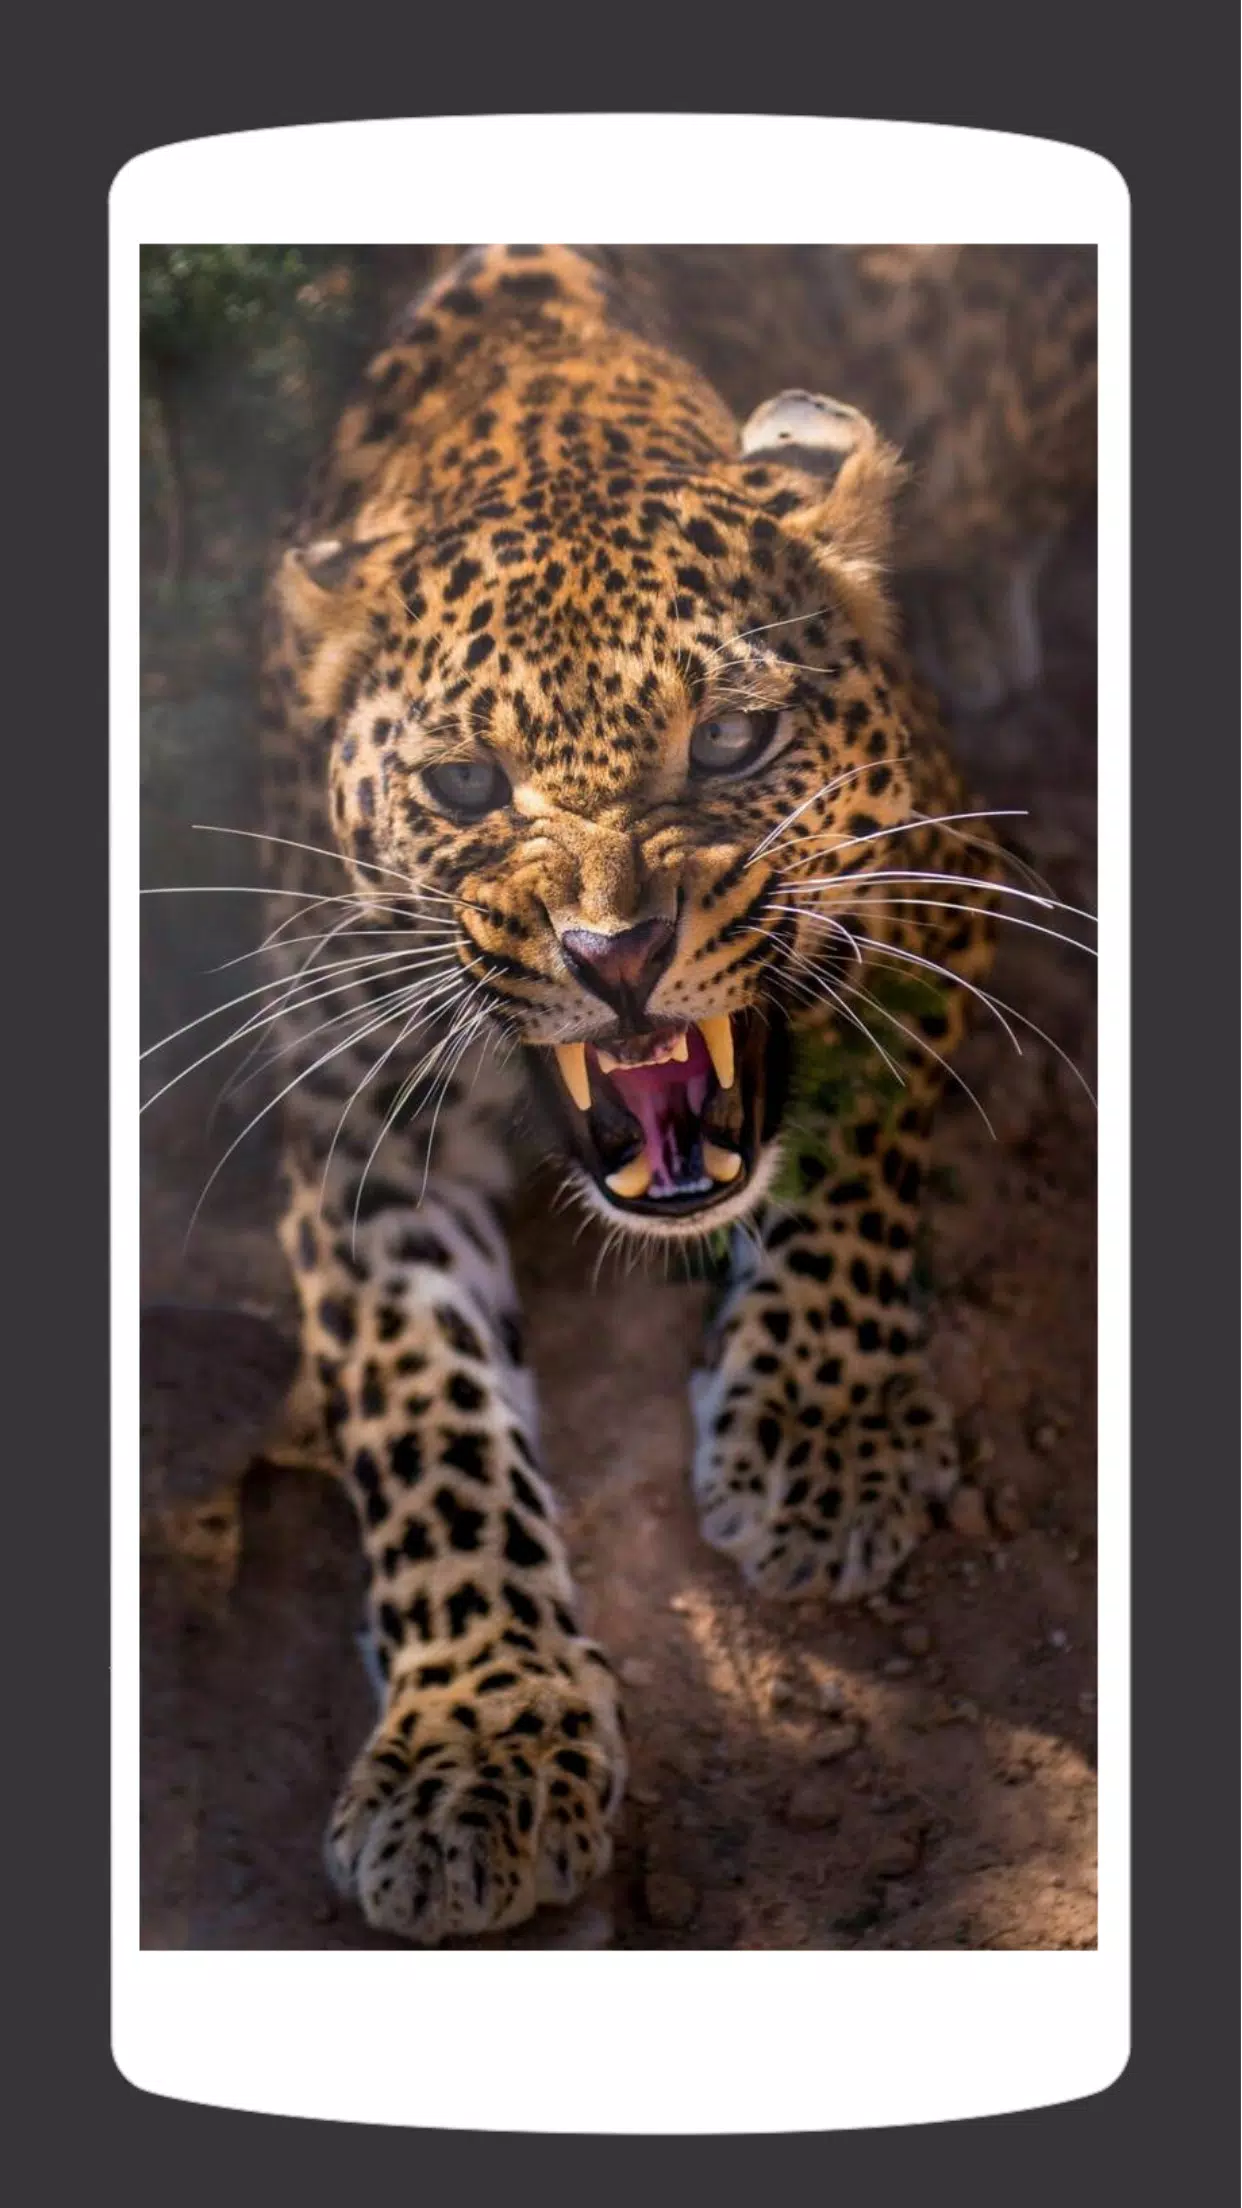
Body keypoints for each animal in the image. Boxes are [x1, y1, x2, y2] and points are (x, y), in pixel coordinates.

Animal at [254, 242, 1085, 1944]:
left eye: (735, 738)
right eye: (462, 785)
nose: (615, 950)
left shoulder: (935, 901)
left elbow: (850, 1156)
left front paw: (820, 1440)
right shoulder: (347, 1099)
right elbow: (417, 1408)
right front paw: (476, 1739)